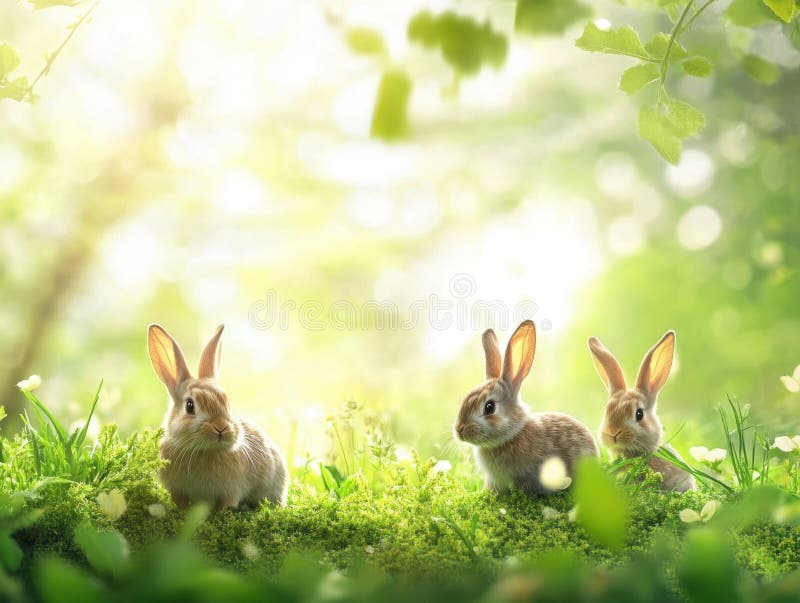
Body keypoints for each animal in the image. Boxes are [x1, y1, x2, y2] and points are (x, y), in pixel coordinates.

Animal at [147, 323, 288, 509]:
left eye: (227, 402)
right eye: (190, 406)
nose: (221, 427)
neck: (203, 451)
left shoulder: (233, 489)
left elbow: (228, 504)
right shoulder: (177, 490)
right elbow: (180, 502)